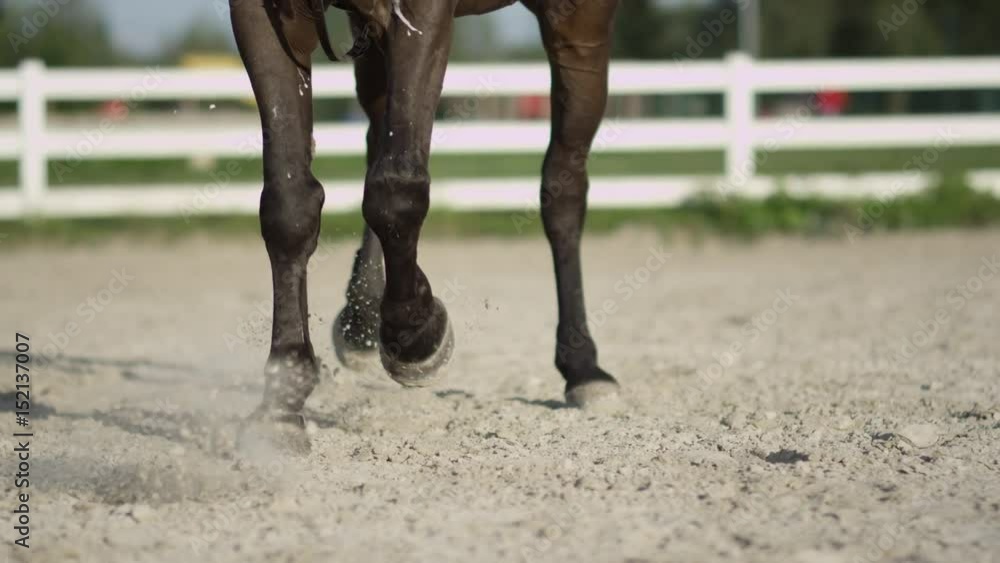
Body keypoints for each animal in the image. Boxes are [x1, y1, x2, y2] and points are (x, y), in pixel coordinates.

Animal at [230, 0, 622, 452]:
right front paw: (280, 402)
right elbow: (289, 206)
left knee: (563, 190)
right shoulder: (261, 13)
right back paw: (363, 320)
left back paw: (584, 368)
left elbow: (396, 193)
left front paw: (418, 338)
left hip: (578, 24)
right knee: (378, 137)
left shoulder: (421, 13)